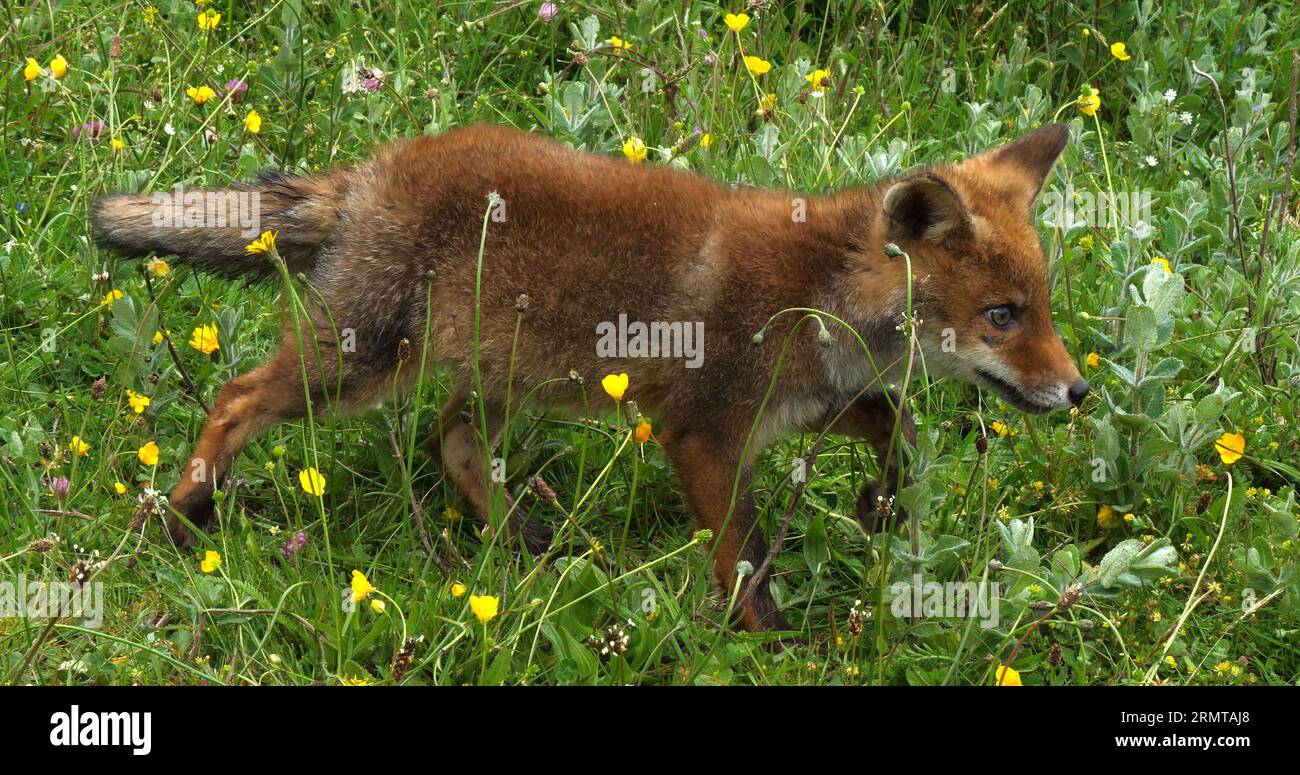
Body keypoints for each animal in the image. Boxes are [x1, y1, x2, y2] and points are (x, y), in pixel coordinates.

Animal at [91, 122, 1086, 632]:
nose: (1078, 392)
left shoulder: (803, 406)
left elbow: (898, 425)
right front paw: (766, 643)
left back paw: (524, 545)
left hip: (497, 376)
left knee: (451, 443)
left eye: (1042, 305)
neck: (820, 295)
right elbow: (743, 555)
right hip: (358, 364)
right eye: (1004, 316)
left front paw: (883, 504)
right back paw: (179, 515)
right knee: (235, 399)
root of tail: (375, 169)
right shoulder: (703, 433)